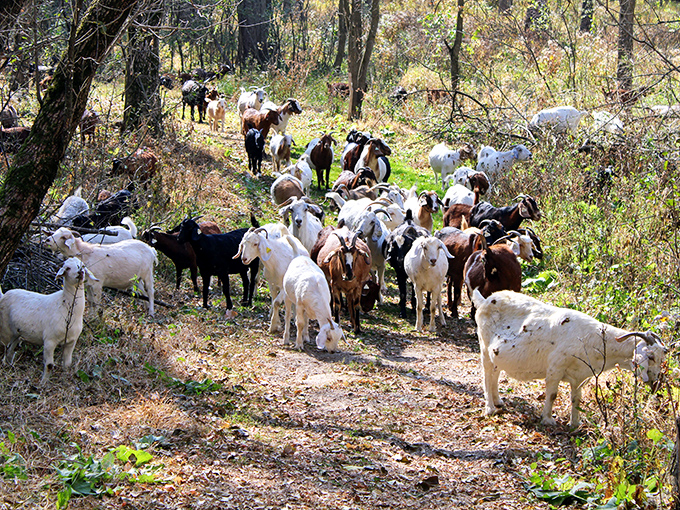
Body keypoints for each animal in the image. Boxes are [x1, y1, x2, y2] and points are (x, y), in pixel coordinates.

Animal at [472, 290, 668, 427]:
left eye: (662, 357)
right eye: (650, 356)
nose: (657, 382)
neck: (593, 339)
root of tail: (484, 300)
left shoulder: (580, 377)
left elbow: (576, 399)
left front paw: (574, 424)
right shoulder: (555, 367)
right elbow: (552, 394)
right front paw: (548, 419)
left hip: (496, 354)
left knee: (495, 374)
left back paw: (498, 401)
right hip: (484, 346)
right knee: (486, 375)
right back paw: (490, 408)